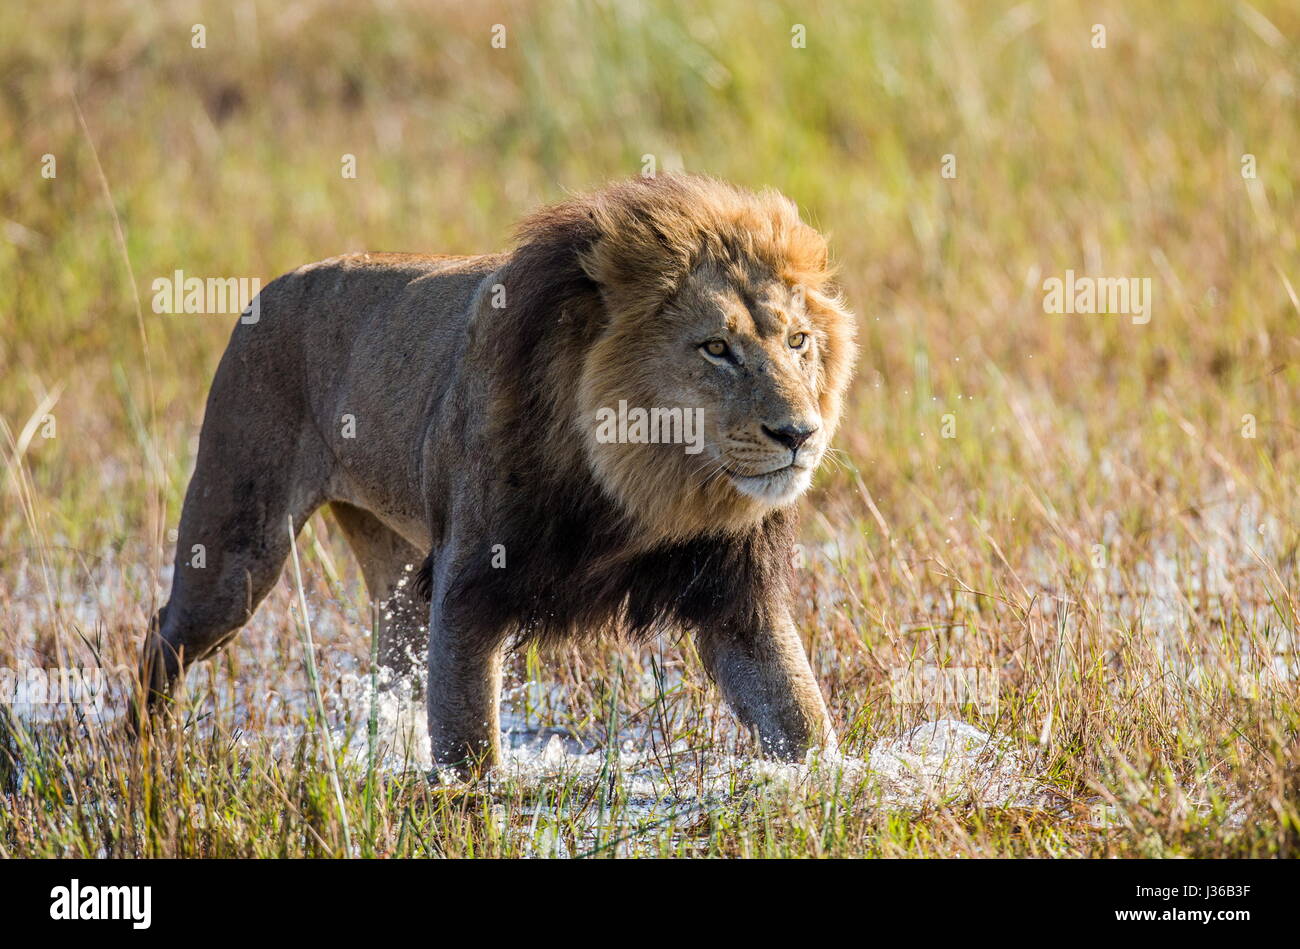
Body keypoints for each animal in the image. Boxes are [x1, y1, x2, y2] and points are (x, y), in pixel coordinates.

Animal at [138, 174, 857, 775]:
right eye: (716, 348)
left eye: (798, 341)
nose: (800, 434)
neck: (640, 487)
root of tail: (274, 284)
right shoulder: (469, 588)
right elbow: (469, 750)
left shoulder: (738, 597)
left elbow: (799, 715)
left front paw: (825, 786)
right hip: (235, 551)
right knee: (165, 634)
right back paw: (147, 752)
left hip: (396, 570)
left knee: (391, 662)